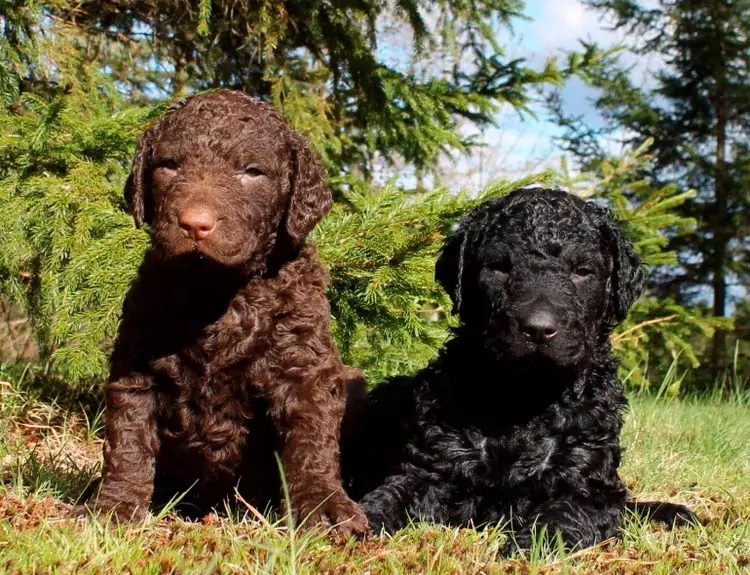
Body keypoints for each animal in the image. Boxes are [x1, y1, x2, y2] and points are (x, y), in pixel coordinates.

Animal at [344, 188, 696, 552]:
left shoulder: (588, 486)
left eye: (582, 271)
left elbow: (564, 515)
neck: (524, 397)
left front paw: (530, 546)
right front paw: (355, 523)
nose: (538, 328)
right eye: (498, 267)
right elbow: (388, 496)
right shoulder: (428, 471)